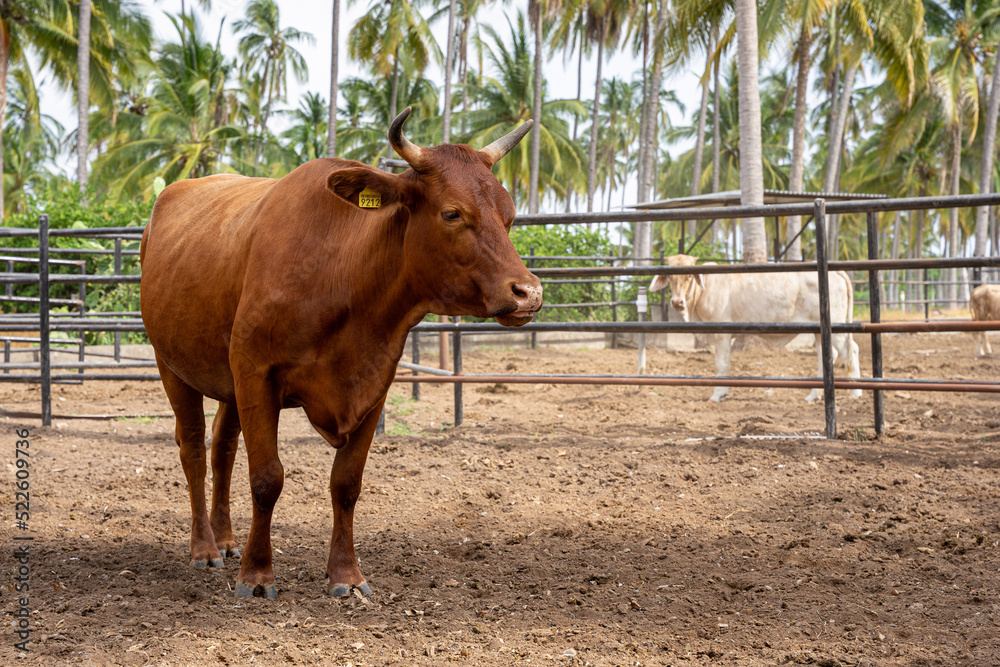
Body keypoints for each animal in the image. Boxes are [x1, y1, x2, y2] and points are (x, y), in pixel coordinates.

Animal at [139, 108, 542, 599]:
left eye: (510, 216)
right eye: (452, 213)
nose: (528, 293)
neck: (343, 273)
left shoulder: (373, 386)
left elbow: (346, 483)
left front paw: (346, 575)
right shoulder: (256, 374)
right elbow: (267, 478)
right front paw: (257, 575)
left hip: (228, 381)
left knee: (223, 448)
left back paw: (228, 539)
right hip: (171, 366)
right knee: (195, 449)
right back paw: (205, 548)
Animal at [649, 254, 861, 403]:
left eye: (688, 275)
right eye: (669, 276)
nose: (677, 302)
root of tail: (835, 271)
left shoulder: (721, 333)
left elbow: (722, 364)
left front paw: (718, 394)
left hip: (836, 327)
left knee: (850, 351)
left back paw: (856, 392)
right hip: (819, 331)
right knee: (827, 356)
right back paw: (813, 395)